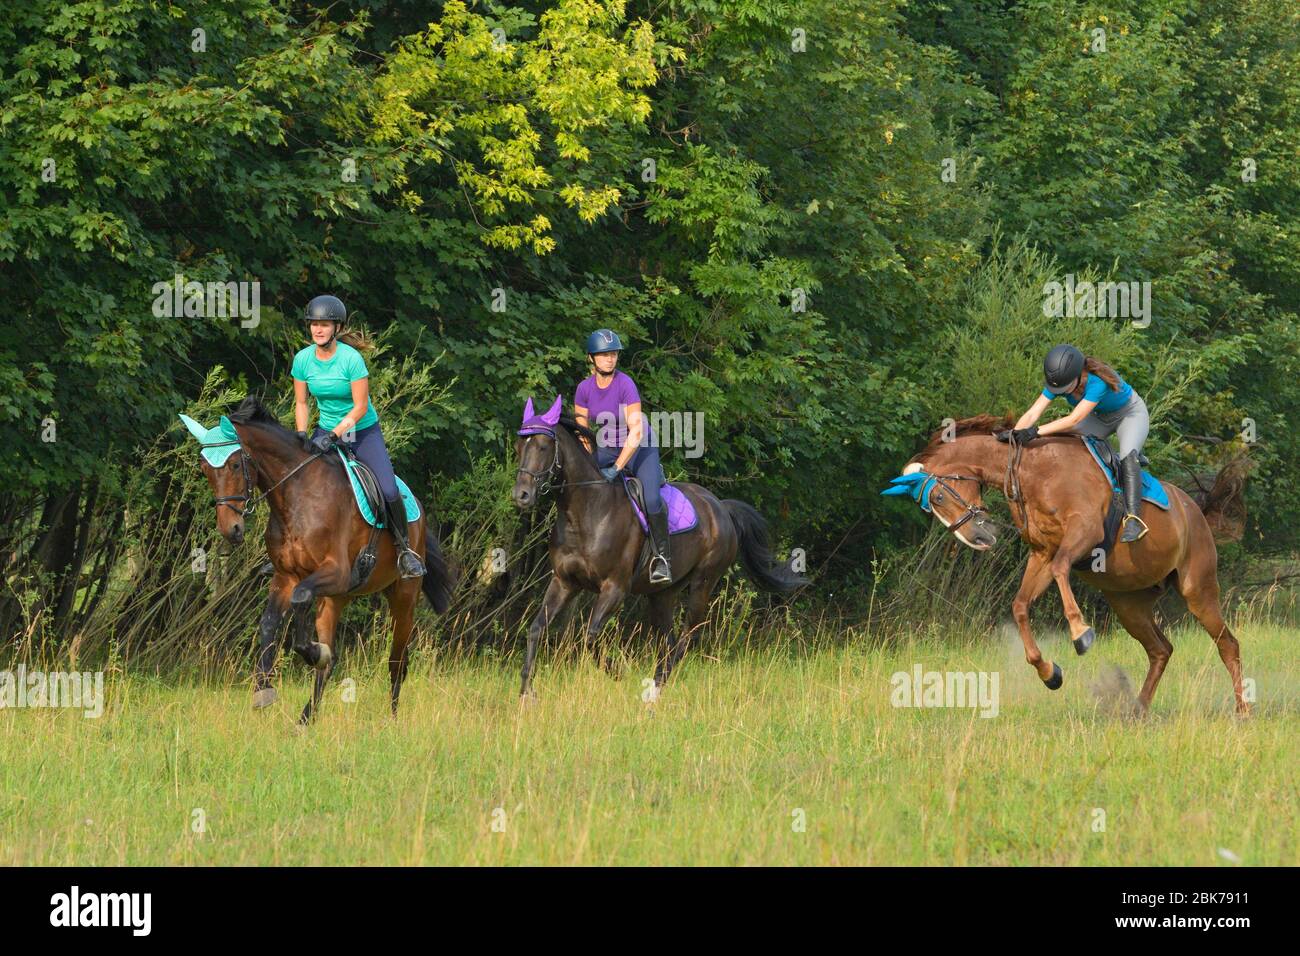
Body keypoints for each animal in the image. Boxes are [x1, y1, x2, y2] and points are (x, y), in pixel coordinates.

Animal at [182, 396, 452, 723]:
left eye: (235, 464)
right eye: (205, 469)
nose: (230, 530)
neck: (296, 498)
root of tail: (417, 507)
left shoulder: (334, 572)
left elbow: (300, 599)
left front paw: (311, 652)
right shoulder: (286, 577)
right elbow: (269, 623)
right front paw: (263, 691)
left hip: (403, 596)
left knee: (397, 661)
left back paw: (392, 718)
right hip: (337, 598)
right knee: (331, 662)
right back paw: (305, 721)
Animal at [510, 396, 807, 701]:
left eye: (543, 447)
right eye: (519, 447)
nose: (521, 495)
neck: (585, 512)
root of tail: (721, 507)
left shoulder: (615, 588)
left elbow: (590, 635)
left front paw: (618, 672)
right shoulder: (564, 582)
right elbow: (536, 628)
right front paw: (527, 693)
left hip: (703, 581)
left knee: (689, 635)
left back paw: (655, 688)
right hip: (662, 593)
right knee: (670, 638)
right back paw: (656, 683)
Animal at [884, 414, 1248, 715]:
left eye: (938, 497)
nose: (977, 539)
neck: (1033, 471)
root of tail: (1196, 511)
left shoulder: (1083, 533)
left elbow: (1062, 570)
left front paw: (1080, 632)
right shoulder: (1043, 554)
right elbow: (1020, 605)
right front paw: (1049, 673)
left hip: (1197, 589)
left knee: (1228, 644)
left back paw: (1242, 710)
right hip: (1129, 604)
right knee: (1160, 649)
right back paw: (1138, 710)